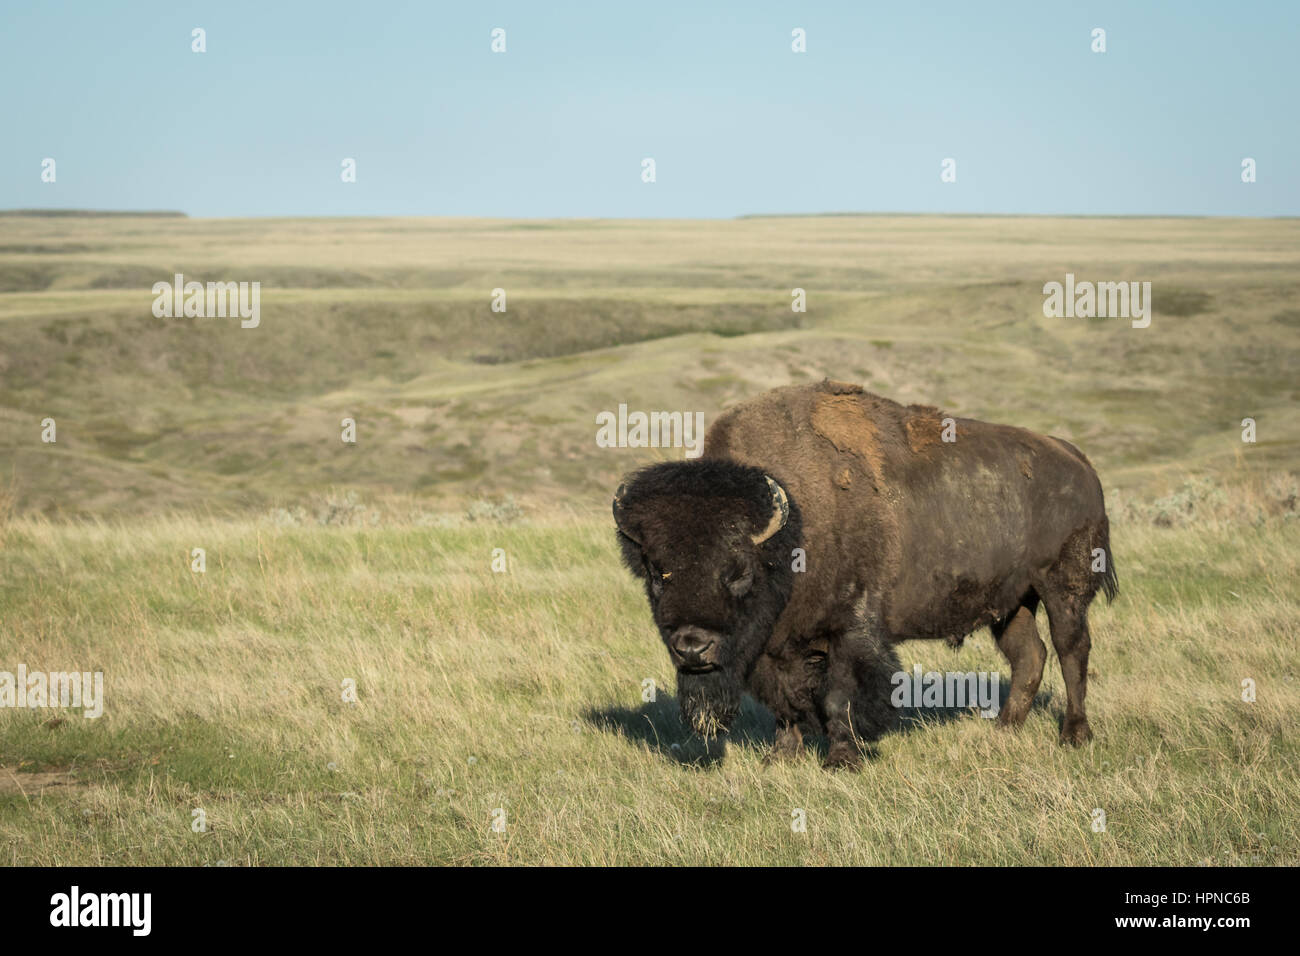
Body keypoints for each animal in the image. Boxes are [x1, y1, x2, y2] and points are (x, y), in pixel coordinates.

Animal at [612, 381, 1117, 769]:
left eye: (736, 570)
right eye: (657, 572)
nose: (692, 647)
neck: (790, 530)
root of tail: (1076, 458)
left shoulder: (849, 627)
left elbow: (838, 695)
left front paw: (843, 760)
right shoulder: (775, 648)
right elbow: (785, 703)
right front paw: (781, 758)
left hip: (1062, 588)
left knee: (1072, 651)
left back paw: (1074, 735)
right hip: (1011, 603)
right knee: (1029, 656)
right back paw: (1003, 730)